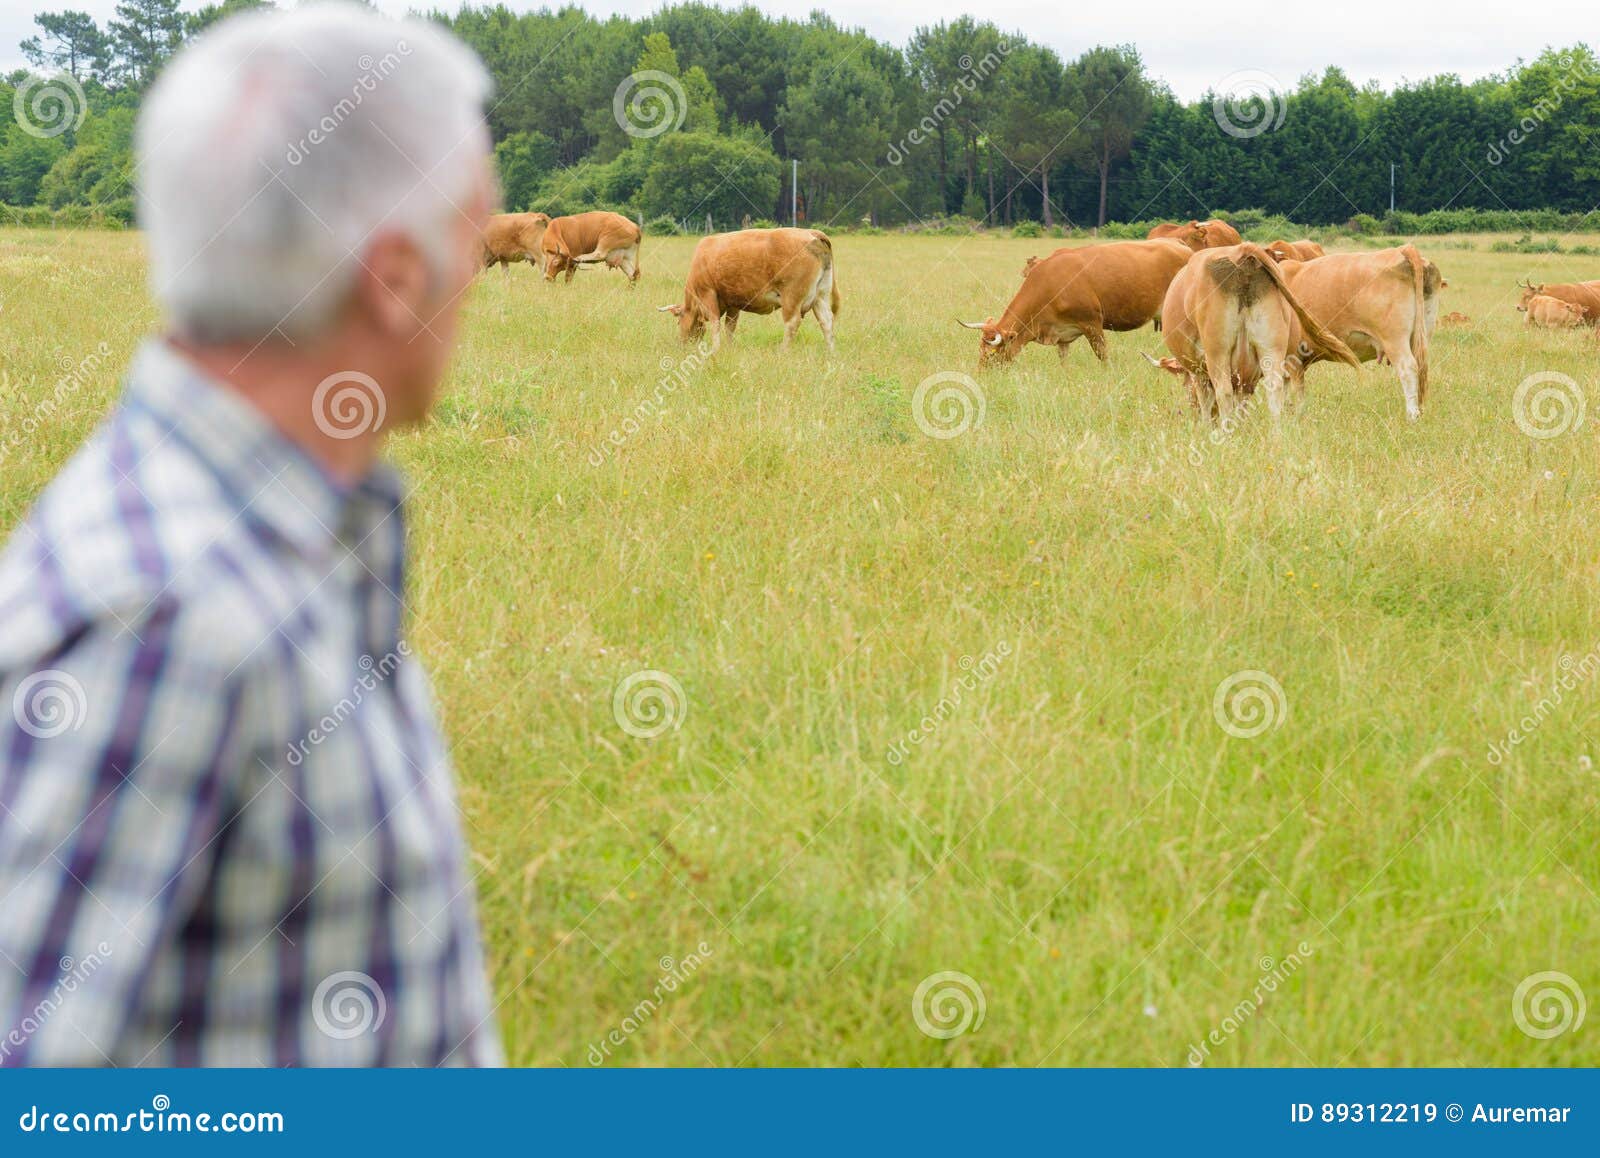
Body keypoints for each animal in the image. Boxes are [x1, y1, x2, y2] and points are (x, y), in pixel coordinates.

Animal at [657, 227, 838, 352]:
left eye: (679, 320)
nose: (682, 344)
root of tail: (812, 233)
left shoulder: (708, 294)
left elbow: (716, 324)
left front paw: (715, 349)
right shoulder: (733, 304)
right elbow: (729, 327)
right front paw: (729, 348)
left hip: (791, 298)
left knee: (792, 323)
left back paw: (783, 351)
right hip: (820, 296)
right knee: (826, 321)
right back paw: (830, 352)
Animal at [957, 239, 1193, 368]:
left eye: (991, 354)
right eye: (980, 351)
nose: (982, 374)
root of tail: (1181, 245)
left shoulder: (1092, 324)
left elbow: (1103, 356)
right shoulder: (1061, 334)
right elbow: (1063, 360)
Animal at [1146, 242, 1360, 419]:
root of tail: (1242, 251)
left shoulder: (1197, 370)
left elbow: (1207, 402)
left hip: (1217, 351)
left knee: (1223, 392)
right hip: (1271, 348)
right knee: (1275, 391)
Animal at [1272, 245, 1438, 420]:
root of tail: (1402, 249)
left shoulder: (1293, 356)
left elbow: (1294, 391)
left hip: (1395, 340)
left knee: (1408, 368)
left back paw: (1412, 416)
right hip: (1421, 334)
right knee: (1420, 367)